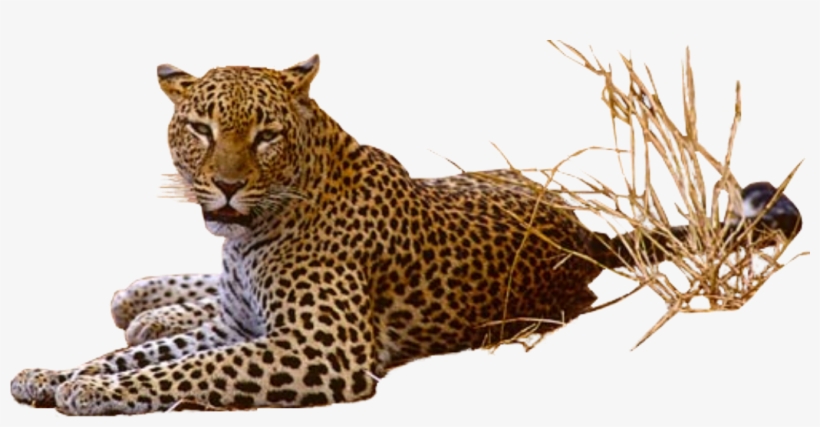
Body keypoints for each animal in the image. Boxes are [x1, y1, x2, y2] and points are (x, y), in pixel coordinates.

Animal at [10, 55, 803, 416]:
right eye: (200, 128)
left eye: (265, 135)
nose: (226, 186)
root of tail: (582, 232)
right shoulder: (241, 324)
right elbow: (140, 354)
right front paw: (55, 373)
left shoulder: (321, 349)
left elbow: (187, 371)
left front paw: (87, 390)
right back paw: (146, 302)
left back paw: (145, 304)